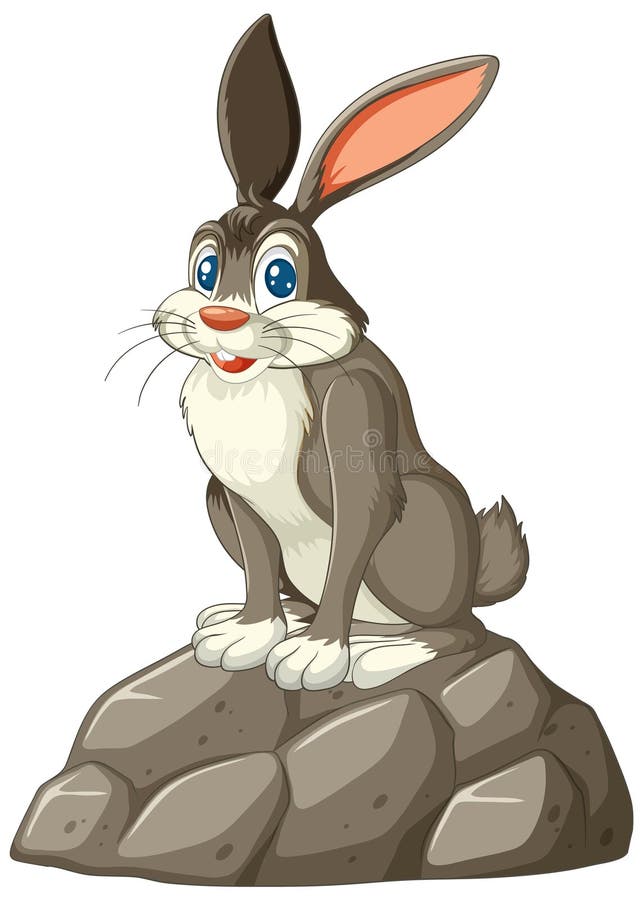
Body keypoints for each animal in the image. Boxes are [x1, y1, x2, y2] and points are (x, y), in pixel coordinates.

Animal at [152, 14, 528, 691]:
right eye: (205, 268)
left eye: (279, 276)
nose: (220, 318)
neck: (264, 373)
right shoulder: (233, 491)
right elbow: (257, 560)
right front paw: (247, 634)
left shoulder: (355, 418)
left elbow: (354, 531)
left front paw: (316, 656)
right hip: (214, 498)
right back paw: (258, 617)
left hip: (426, 527)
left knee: (461, 631)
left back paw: (381, 653)